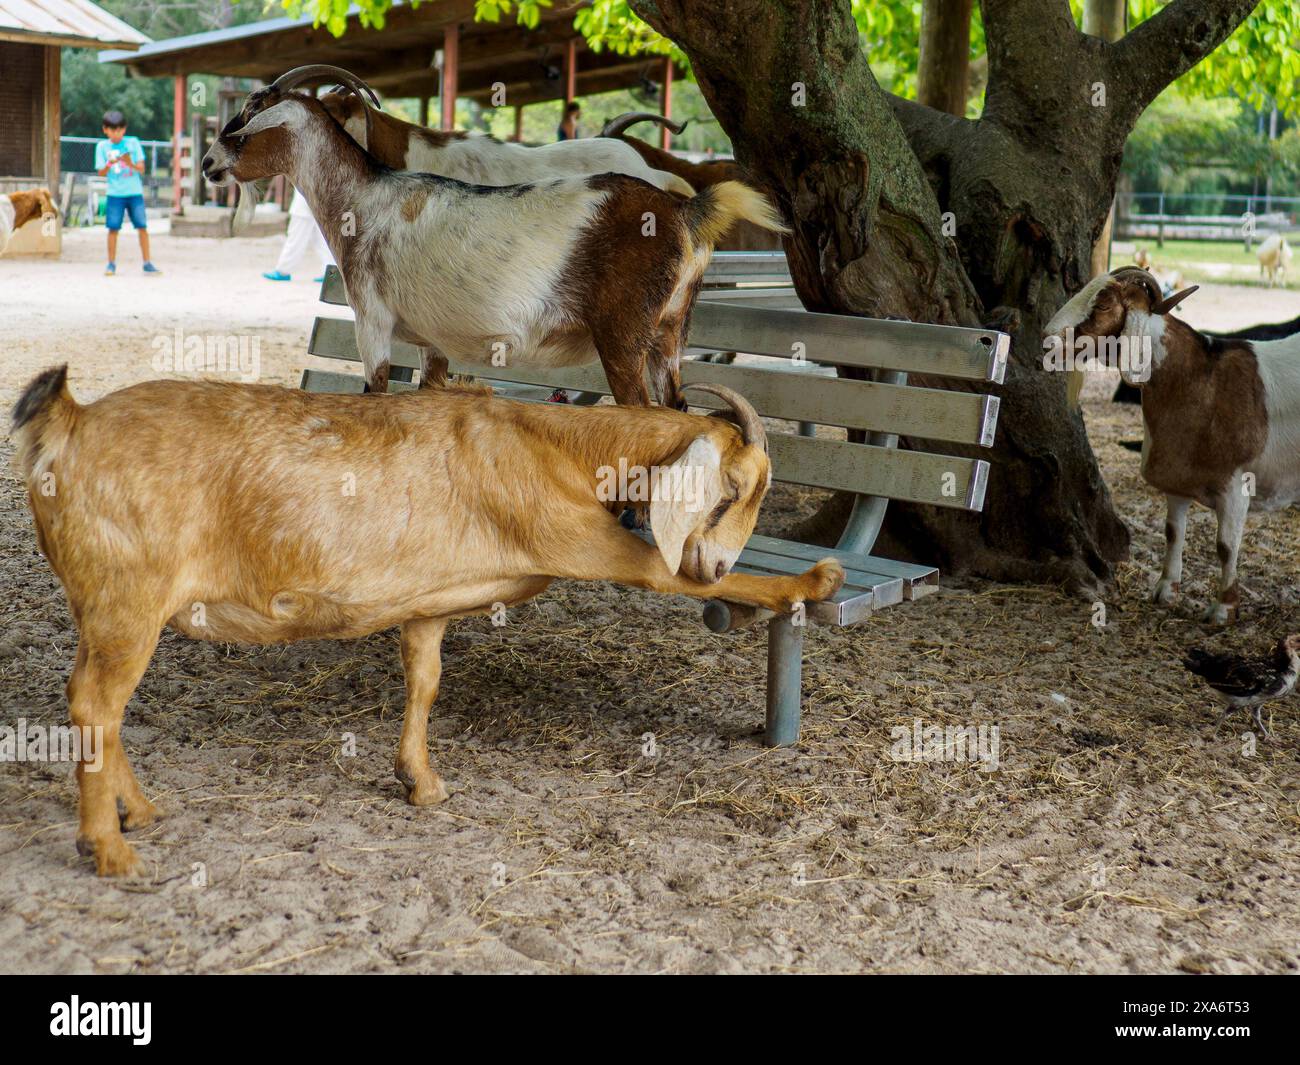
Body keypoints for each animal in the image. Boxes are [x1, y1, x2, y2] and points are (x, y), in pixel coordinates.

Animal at [13, 367, 844, 876]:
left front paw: (420, 780)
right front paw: (811, 579)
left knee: (88, 697)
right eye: (738, 486)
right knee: (96, 702)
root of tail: (68, 425)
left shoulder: (428, 603)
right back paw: (109, 848)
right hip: (129, 597)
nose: (710, 560)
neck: (547, 444)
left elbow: (425, 678)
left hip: (102, 604)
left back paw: (139, 809)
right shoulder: (581, 539)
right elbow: (655, 572)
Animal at [201, 71, 786, 406]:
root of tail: (685, 207)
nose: (208, 164)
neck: (367, 195)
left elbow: (375, 398)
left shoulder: (373, 322)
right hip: (671, 333)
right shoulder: (432, 342)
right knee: (677, 410)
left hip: (623, 336)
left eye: (244, 128)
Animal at [1047, 266, 1300, 625]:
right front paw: (1165, 591)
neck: (1202, 381)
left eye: (1105, 304)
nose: (1049, 337)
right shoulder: (1177, 481)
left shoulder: (1235, 485)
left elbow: (1226, 545)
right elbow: (1172, 532)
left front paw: (1223, 609)